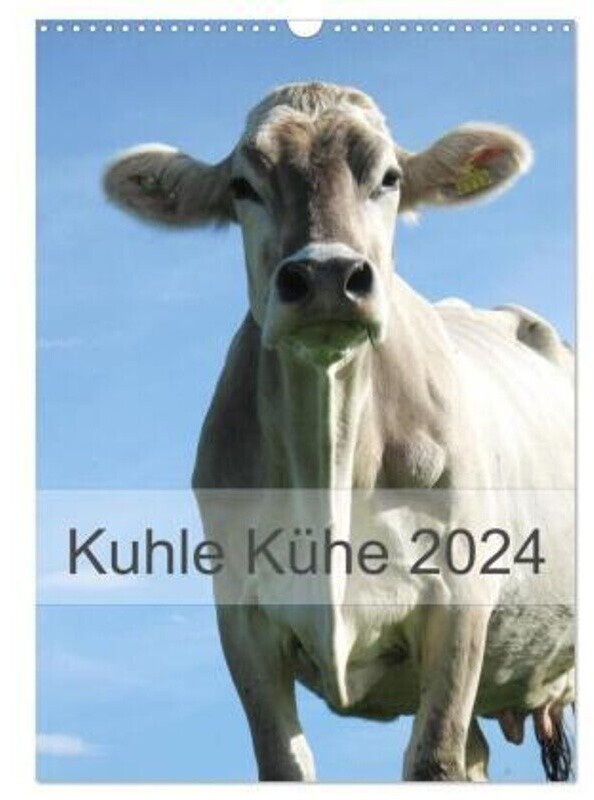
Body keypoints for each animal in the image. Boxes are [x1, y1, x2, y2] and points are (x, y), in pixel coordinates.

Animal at [103, 82, 575, 782]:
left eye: (390, 177)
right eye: (243, 185)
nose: (327, 277)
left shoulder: (461, 600)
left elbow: (433, 760)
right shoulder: (241, 616)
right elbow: (287, 763)